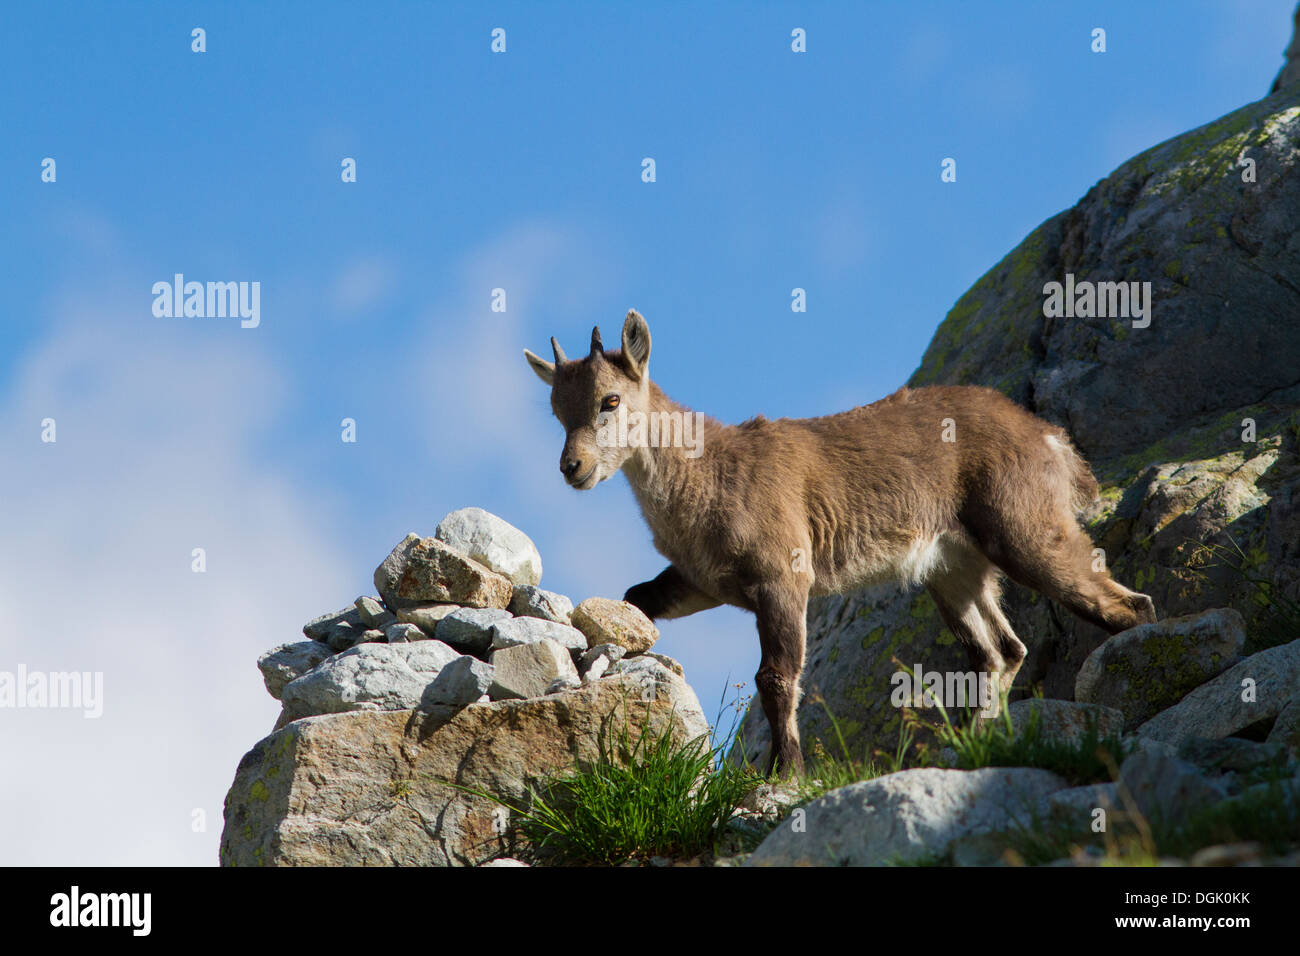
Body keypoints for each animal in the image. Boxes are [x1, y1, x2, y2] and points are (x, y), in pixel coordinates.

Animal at [524, 310, 1157, 776]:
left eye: (610, 400)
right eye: (556, 410)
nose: (572, 467)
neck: (706, 474)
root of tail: (1050, 439)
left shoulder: (783, 576)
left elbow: (776, 678)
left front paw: (786, 774)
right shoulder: (701, 583)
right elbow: (638, 597)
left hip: (1025, 532)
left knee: (1123, 605)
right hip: (954, 568)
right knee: (1001, 650)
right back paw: (974, 744)